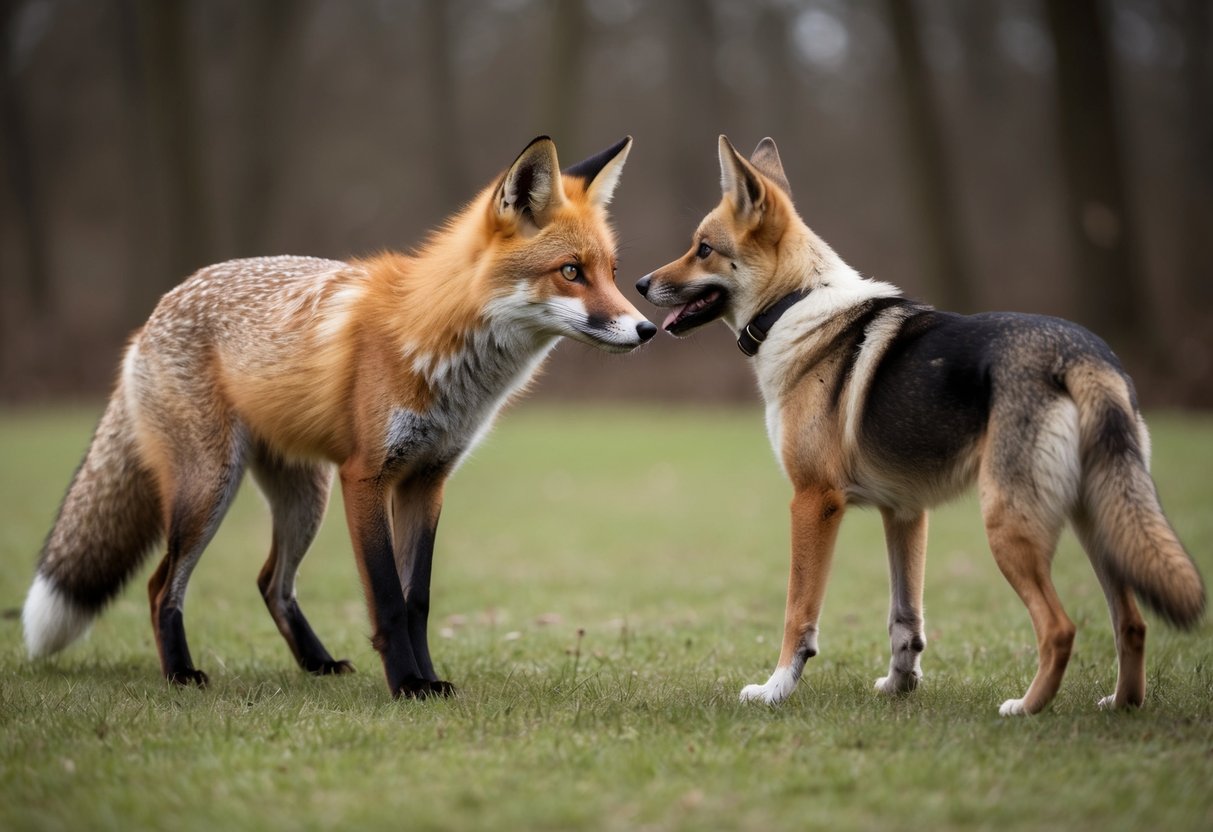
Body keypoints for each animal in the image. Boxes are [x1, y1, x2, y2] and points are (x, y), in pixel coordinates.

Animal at [23, 135, 656, 698]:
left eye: (612, 272)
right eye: (571, 272)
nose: (647, 329)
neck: (441, 346)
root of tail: (154, 314)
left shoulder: (427, 480)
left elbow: (417, 599)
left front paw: (429, 679)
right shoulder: (366, 476)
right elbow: (388, 598)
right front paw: (406, 685)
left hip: (304, 498)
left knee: (271, 582)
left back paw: (317, 663)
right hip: (210, 486)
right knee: (161, 586)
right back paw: (181, 674)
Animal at [636, 135, 1204, 715]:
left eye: (703, 248)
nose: (639, 283)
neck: (795, 306)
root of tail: (1080, 356)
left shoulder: (813, 502)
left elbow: (799, 613)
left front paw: (775, 689)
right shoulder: (905, 512)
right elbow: (904, 621)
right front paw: (900, 686)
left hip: (1009, 525)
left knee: (1060, 628)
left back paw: (1025, 708)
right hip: (1100, 521)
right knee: (1132, 623)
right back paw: (1122, 704)